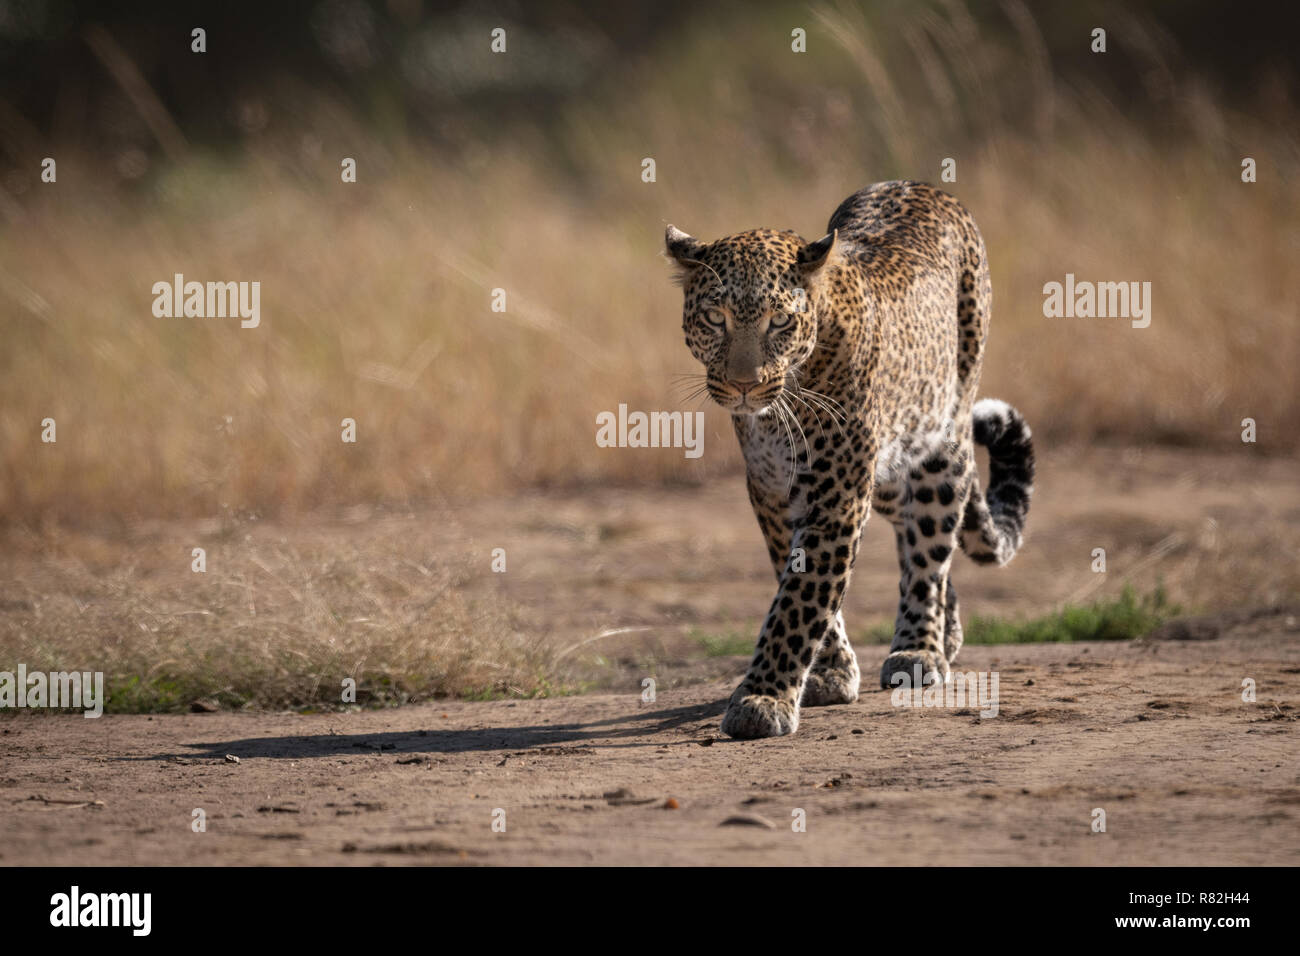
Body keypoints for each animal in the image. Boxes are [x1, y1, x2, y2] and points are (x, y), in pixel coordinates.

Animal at [665, 180, 1034, 739]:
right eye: (715, 318)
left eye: (779, 321)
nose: (744, 384)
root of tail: (920, 184)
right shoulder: (774, 492)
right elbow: (800, 581)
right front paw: (829, 672)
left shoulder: (837, 496)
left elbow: (801, 600)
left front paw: (761, 699)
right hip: (888, 474)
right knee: (920, 533)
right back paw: (947, 633)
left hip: (940, 442)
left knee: (930, 550)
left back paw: (920, 649)